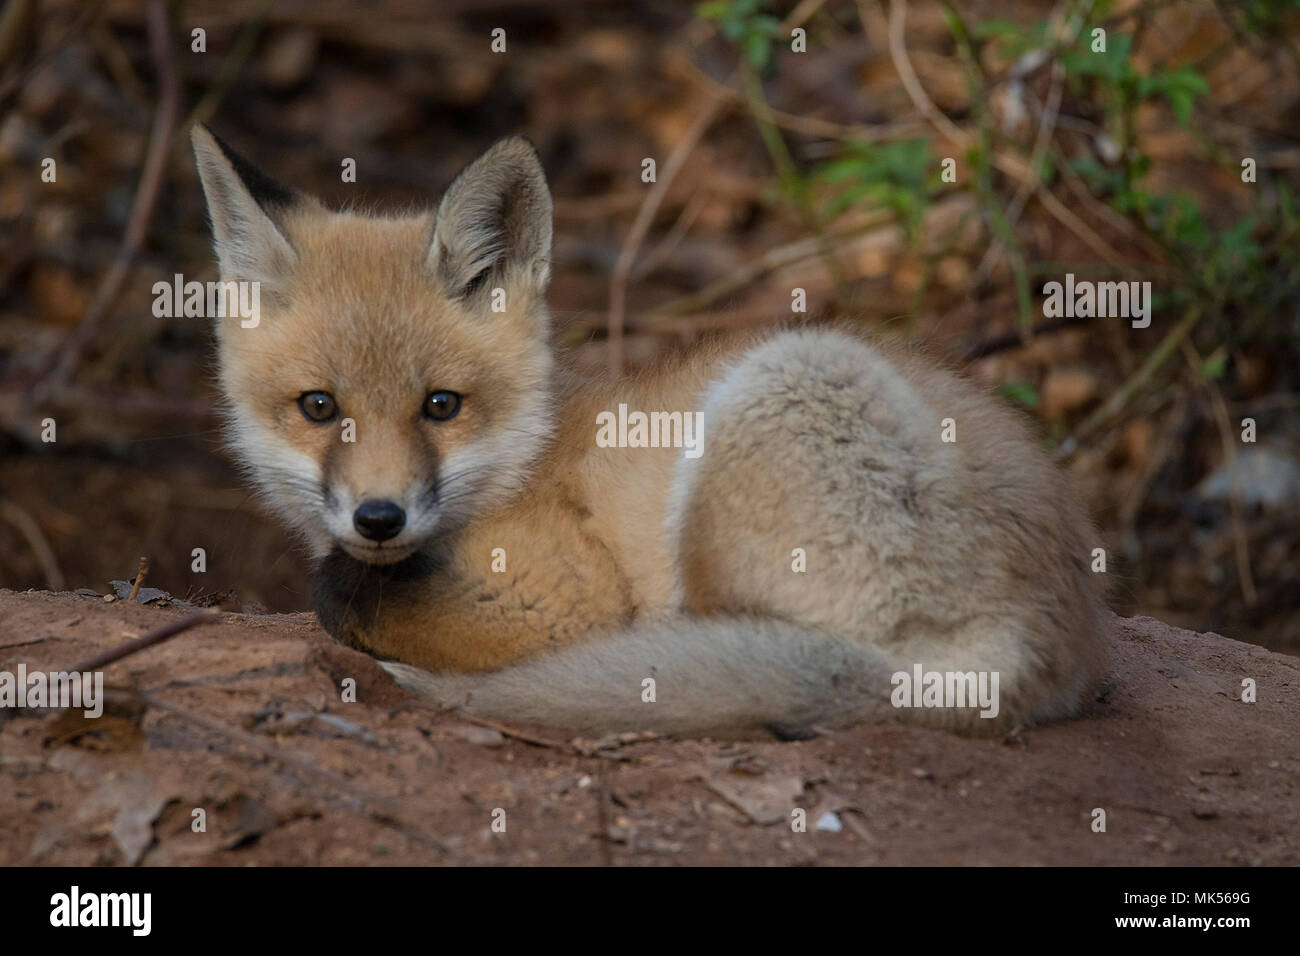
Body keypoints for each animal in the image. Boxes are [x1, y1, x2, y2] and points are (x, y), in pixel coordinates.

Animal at [191, 125, 1106, 740]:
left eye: (441, 405)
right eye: (319, 407)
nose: (378, 519)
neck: (523, 457)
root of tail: (1051, 628)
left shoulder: (563, 600)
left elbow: (340, 595)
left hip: (778, 390)